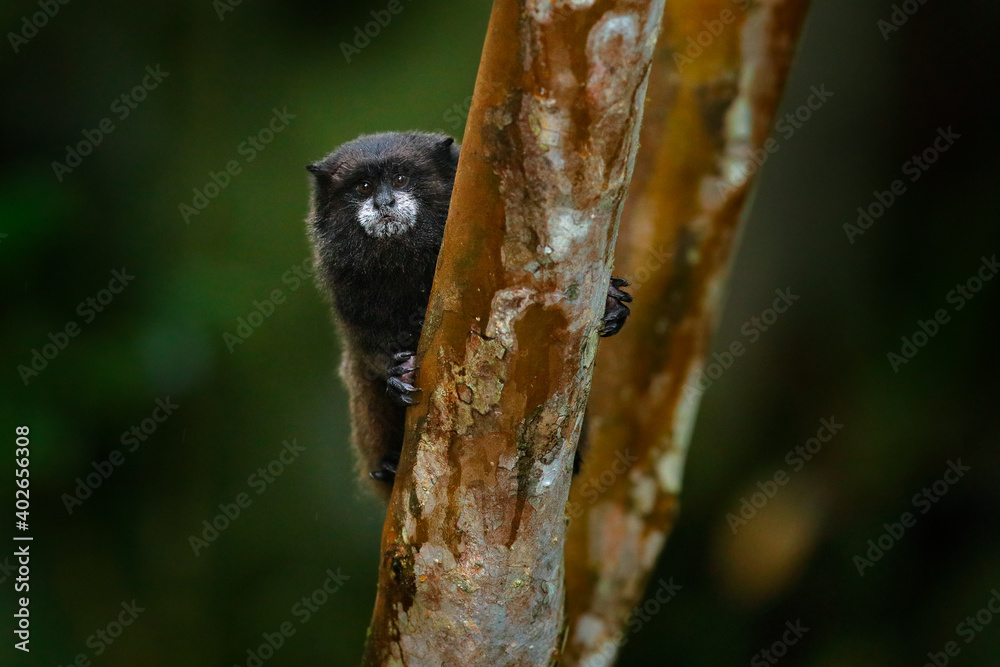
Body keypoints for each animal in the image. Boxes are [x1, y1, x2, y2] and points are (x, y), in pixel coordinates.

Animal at [305, 131, 632, 501]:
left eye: (400, 179)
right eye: (363, 187)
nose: (384, 202)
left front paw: (611, 303)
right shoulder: (344, 285)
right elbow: (365, 348)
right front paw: (397, 372)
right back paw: (388, 466)